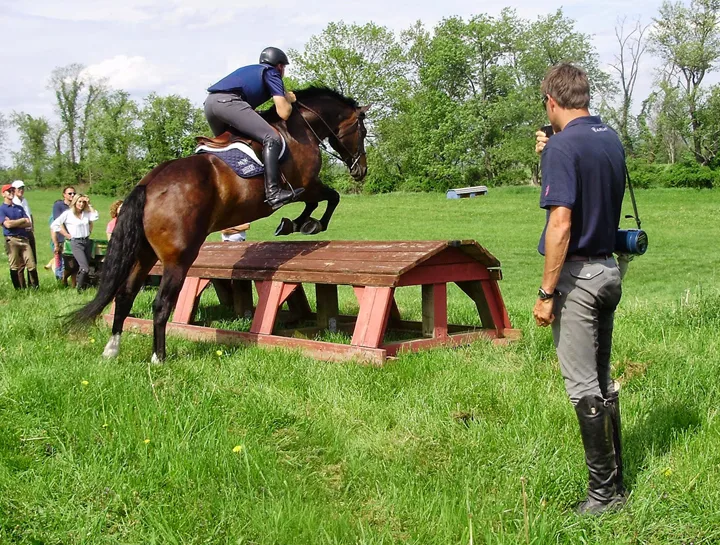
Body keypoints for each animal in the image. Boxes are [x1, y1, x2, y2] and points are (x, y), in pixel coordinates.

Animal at [69, 87, 369, 362]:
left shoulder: (306, 188)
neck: (299, 126)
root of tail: (148, 185)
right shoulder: (306, 185)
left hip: (144, 255)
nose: (360, 170)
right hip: (178, 258)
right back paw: (159, 358)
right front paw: (306, 224)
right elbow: (330, 198)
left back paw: (111, 350)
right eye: (363, 132)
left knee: (125, 295)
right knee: (161, 303)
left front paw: (294, 223)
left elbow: (320, 202)